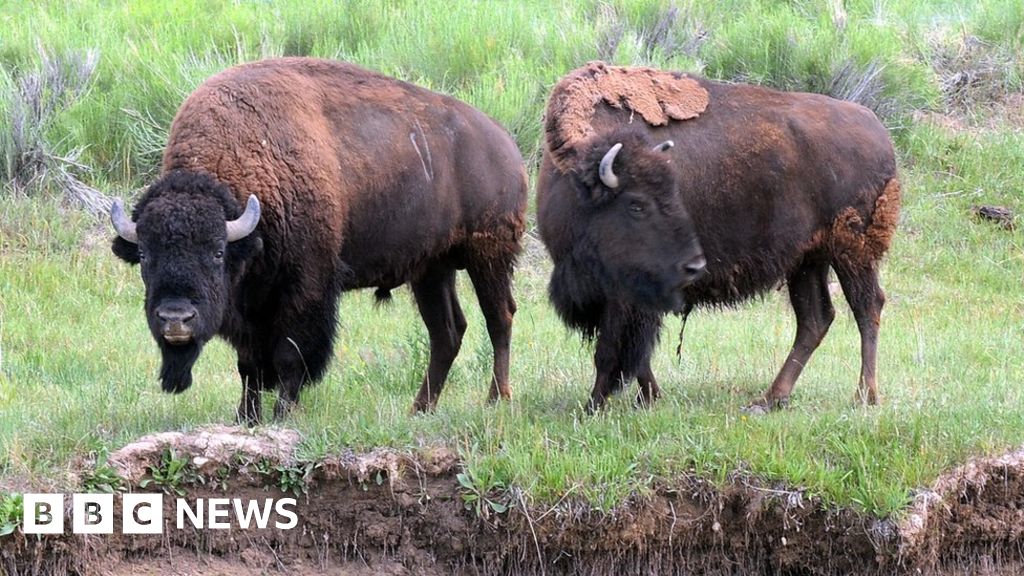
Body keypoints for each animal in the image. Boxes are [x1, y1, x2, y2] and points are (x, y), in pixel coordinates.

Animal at [111, 57, 527, 423]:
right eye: (145, 254)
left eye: (216, 252)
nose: (175, 319)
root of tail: (505, 145)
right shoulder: (247, 307)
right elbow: (249, 364)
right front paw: (246, 418)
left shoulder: (305, 289)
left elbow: (290, 355)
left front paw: (282, 414)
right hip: (432, 270)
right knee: (447, 332)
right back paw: (420, 409)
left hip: (488, 256)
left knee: (499, 318)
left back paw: (496, 399)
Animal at [537, 62, 900, 411]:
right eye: (636, 204)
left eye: (671, 195)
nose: (695, 265)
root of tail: (878, 130)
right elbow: (633, 353)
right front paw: (648, 398)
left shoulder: (626, 296)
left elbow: (612, 350)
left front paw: (594, 406)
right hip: (808, 260)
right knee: (815, 319)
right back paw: (770, 400)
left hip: (853, 253)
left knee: (867, 307)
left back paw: (864, 396)